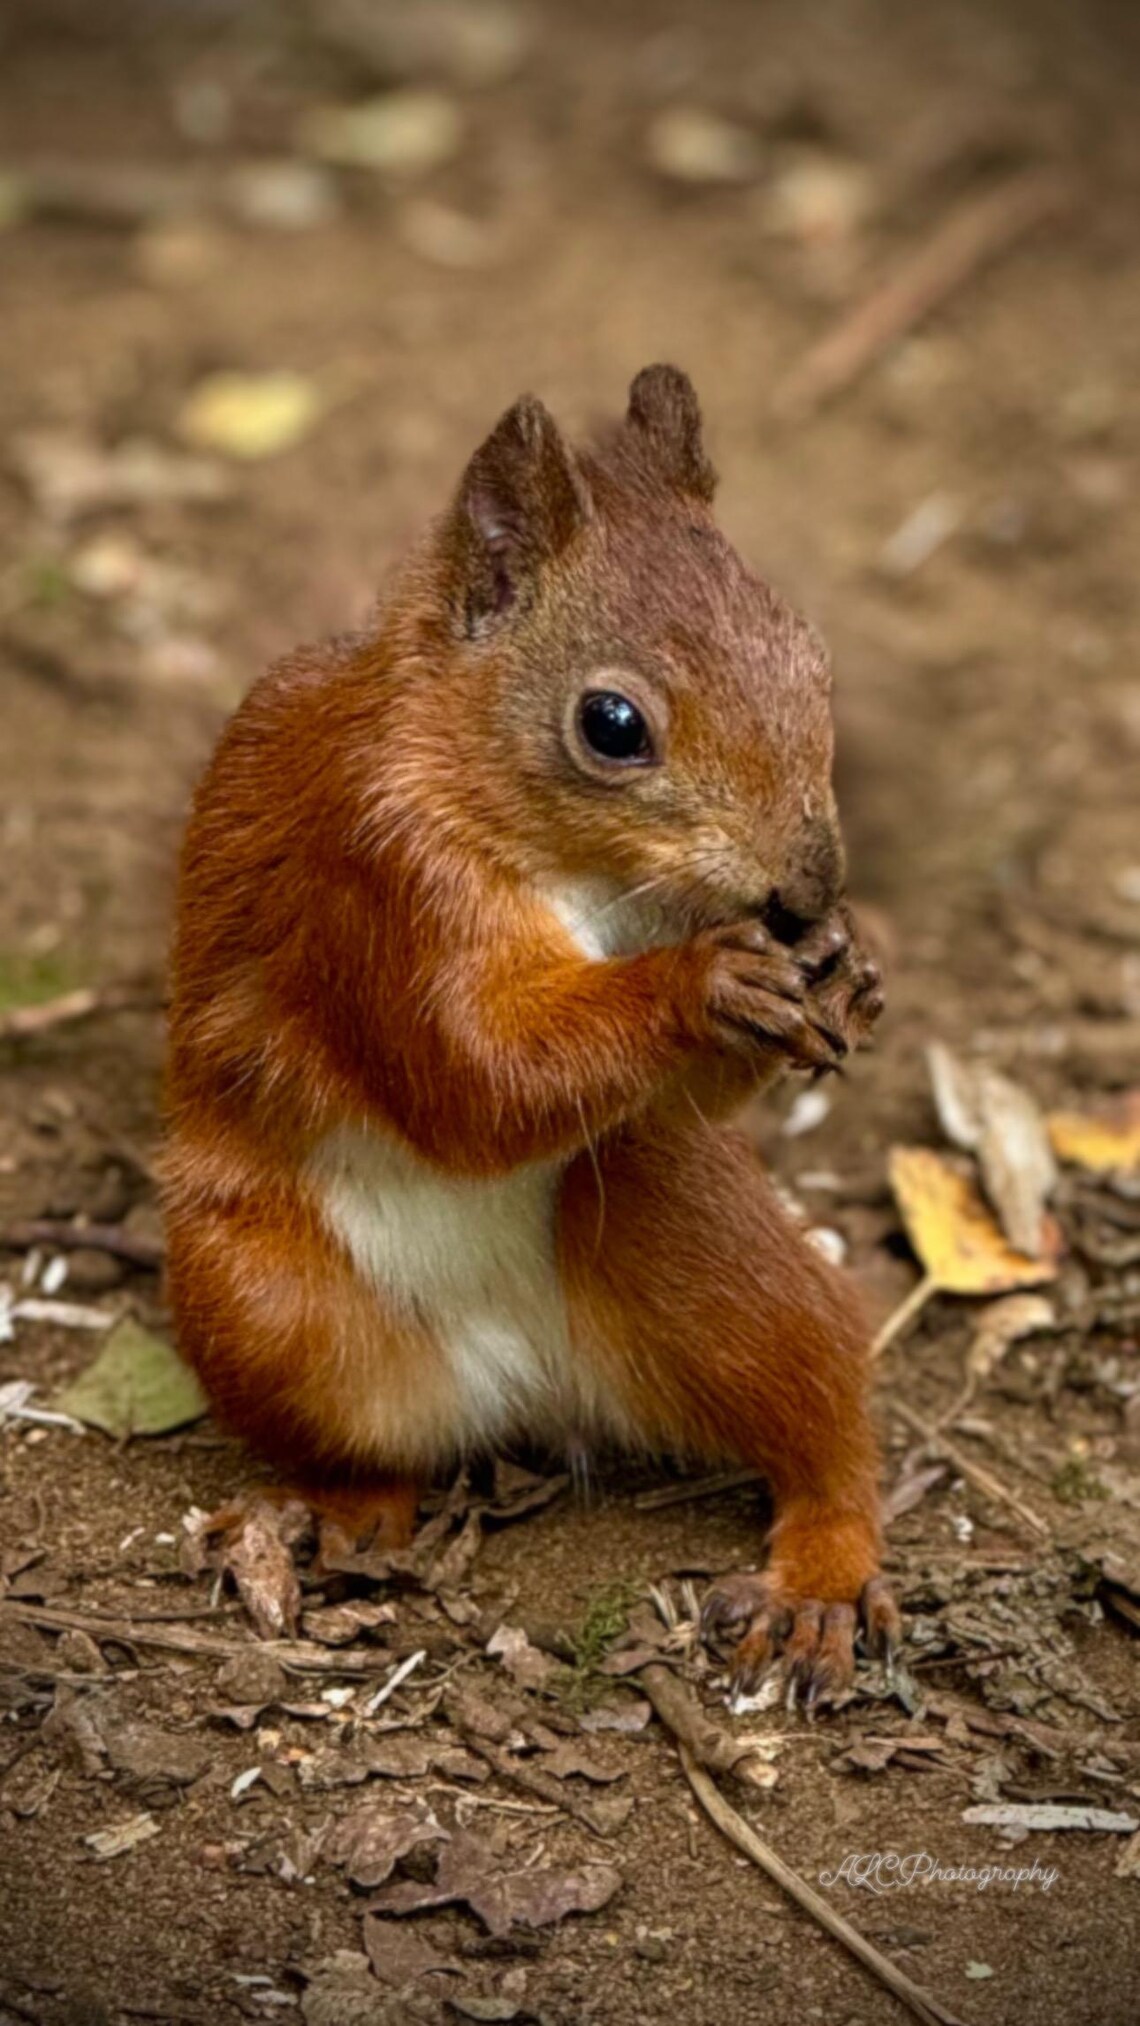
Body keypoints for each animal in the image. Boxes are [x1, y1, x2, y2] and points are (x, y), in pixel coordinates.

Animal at [162, 365, 898, 1703]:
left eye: (812, 658)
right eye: (611, 724)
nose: (809, 891)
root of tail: (533, 1389)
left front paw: (848, 970)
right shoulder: (373, 878)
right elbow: (473, 1080)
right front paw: (698, 983)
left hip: (694, 1244)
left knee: (818, 1402)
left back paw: (822, 1570)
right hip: (262, 1301)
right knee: (360, 1440)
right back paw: (347, 1514)